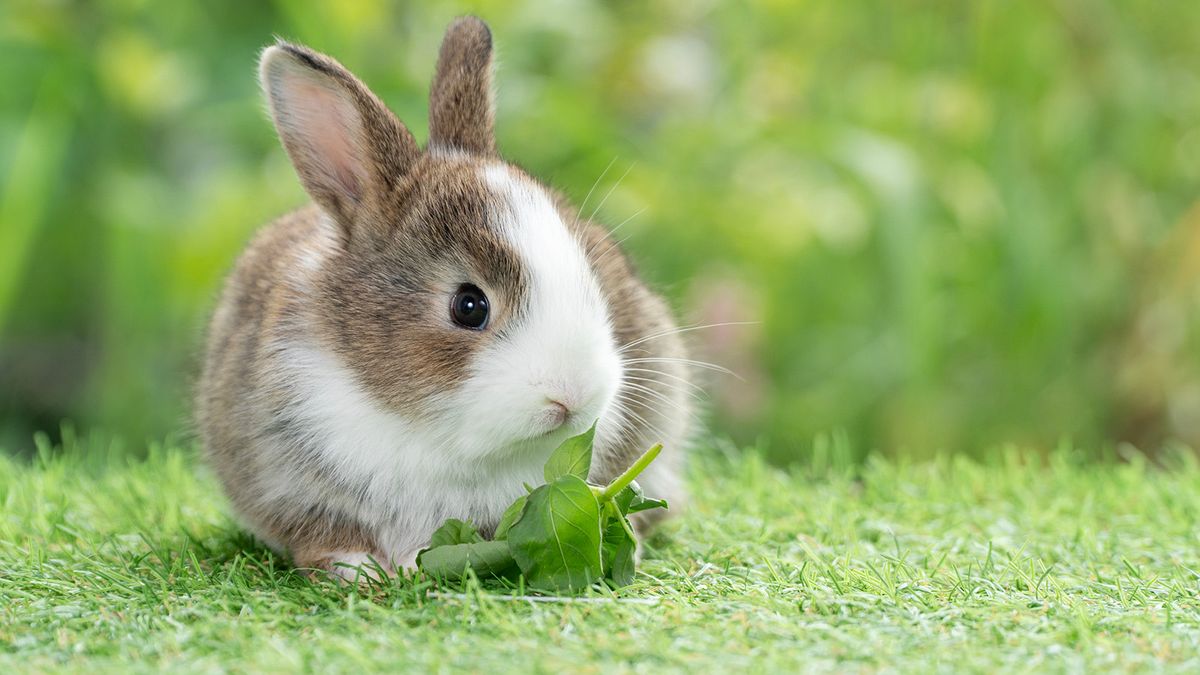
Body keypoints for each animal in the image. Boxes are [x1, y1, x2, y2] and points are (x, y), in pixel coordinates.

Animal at [197, 16, 693, 580]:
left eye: (592, 270)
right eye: (469, 306)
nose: (575, 395)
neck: (429, 426)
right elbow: (323, 536)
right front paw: (359, 570)